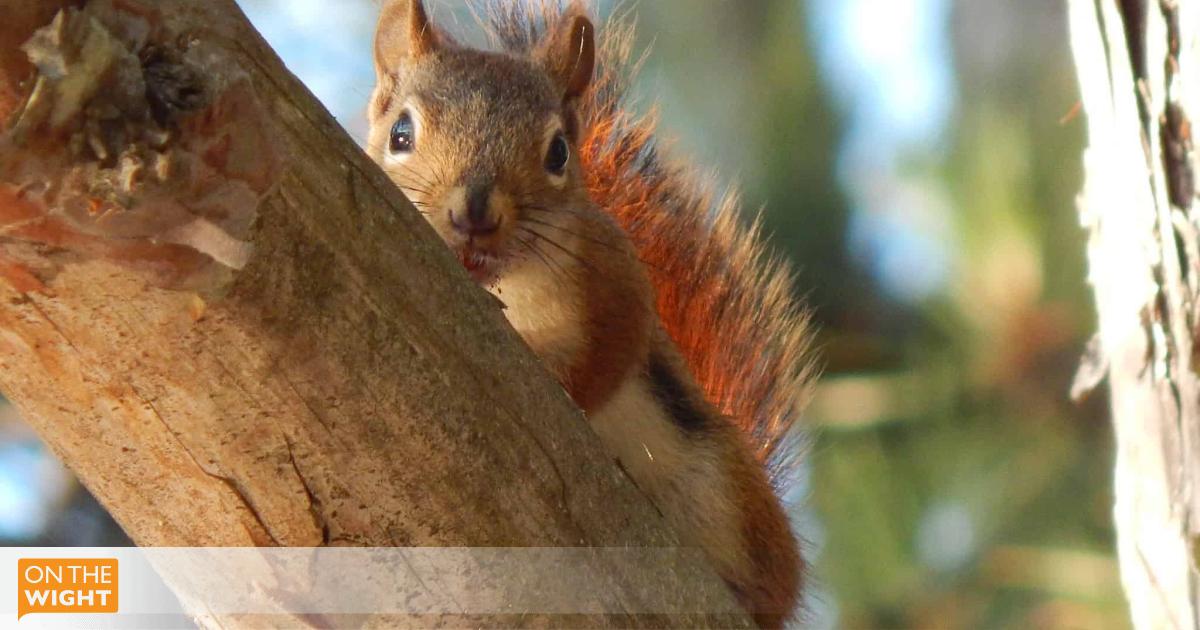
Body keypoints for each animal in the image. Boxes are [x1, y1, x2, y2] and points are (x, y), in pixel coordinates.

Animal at [367, 0, 817, 626]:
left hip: (719, 494)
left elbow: (609, 357)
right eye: (400, 133)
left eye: (558, 151)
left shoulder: (618, 281)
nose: (474, 212)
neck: (502, 280)